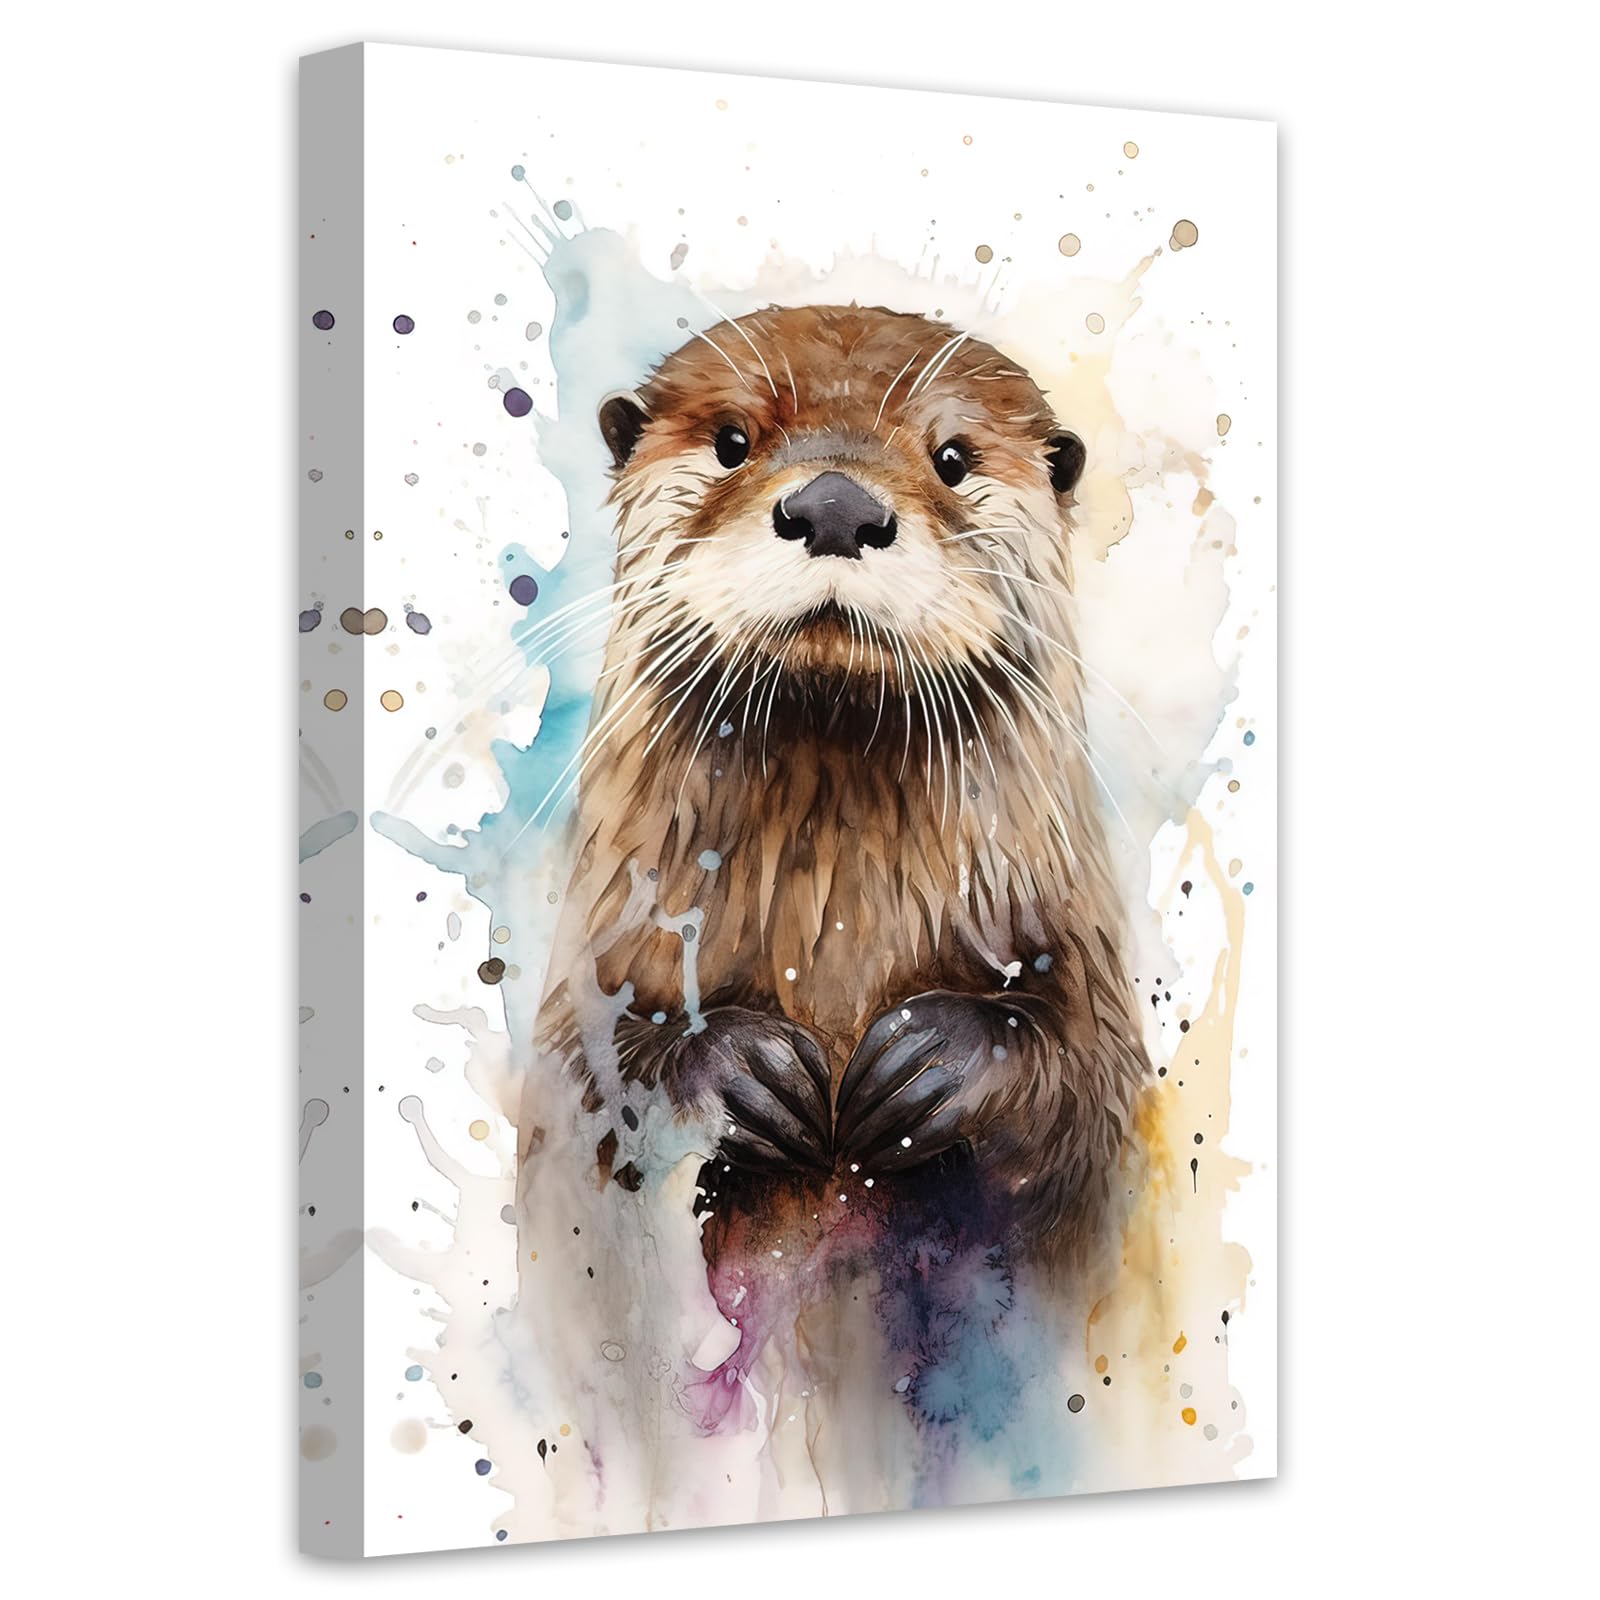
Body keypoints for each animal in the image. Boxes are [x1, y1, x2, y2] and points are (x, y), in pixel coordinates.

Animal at [524, 304, 1148, 1296]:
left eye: (953, 457)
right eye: (732, 443)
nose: (835, 507)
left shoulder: (1082, 949)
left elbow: (1097, 1082)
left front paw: (935, 1057)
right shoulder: (595, 950)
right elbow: (576, 1087)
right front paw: (739, 1067)